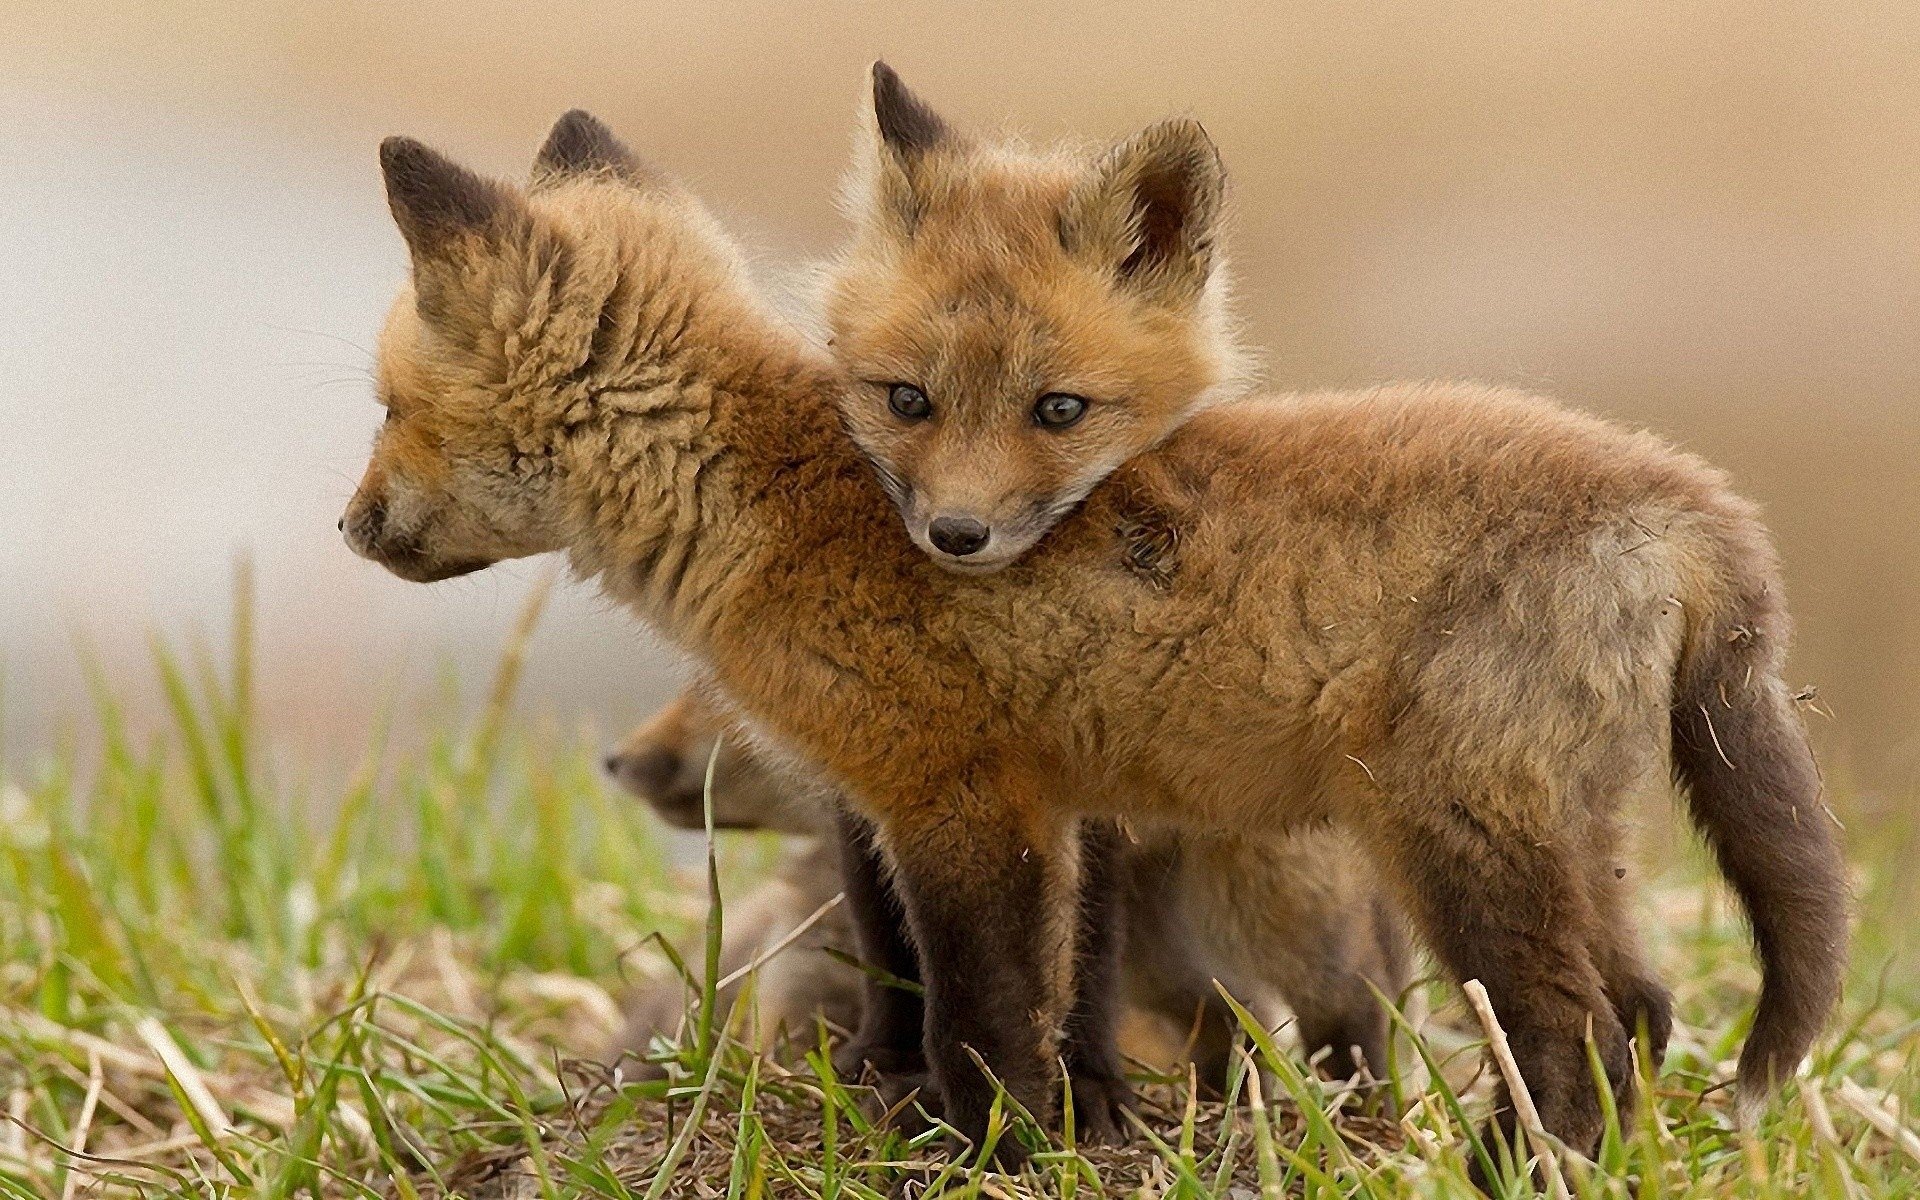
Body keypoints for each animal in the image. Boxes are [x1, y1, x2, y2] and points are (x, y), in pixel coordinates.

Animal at [607, 689, 1411, 1089]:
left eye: (714, 703)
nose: (619, 761)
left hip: (1270, 899)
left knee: (1348, 999)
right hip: (1171, 952)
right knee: (1233, 1016)